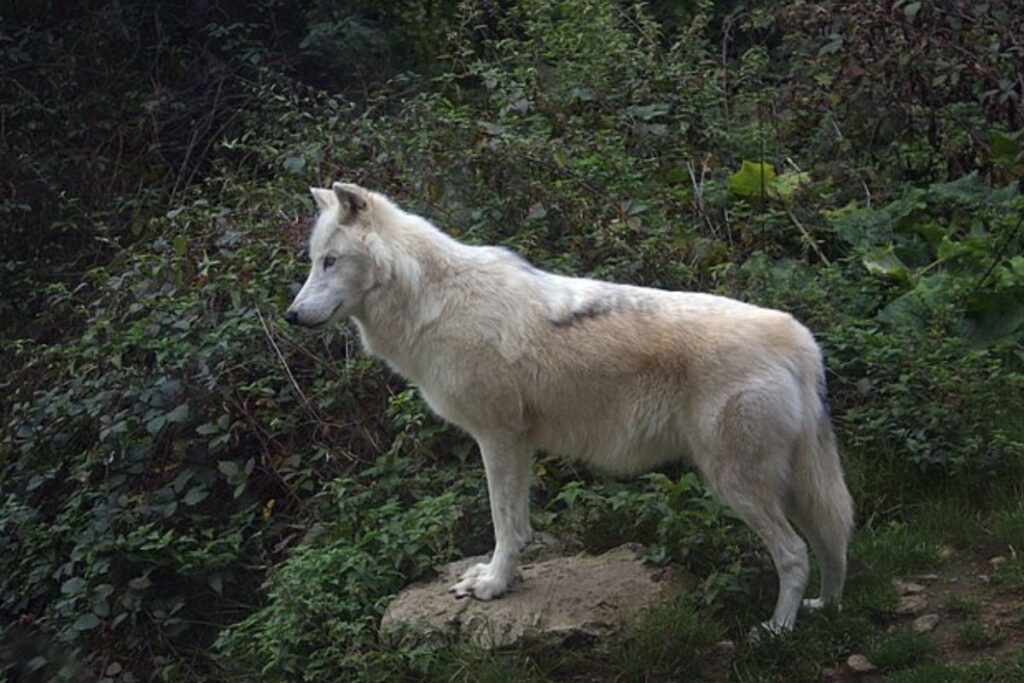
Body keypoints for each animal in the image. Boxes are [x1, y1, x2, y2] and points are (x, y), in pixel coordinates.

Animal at [285, 182, 854, 632]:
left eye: (329, 261)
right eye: (314, 261)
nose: (291, 315)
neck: (433, 301)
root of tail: (799, 340)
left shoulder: (499, 438)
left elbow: (503, 524)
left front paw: (492, 585)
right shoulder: (519, 445)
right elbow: (519, 526)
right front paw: (501, 579)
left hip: (737, 482)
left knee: (794, 553)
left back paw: (777, 631)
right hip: (790, 484)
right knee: (833, 540)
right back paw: (825, 607)